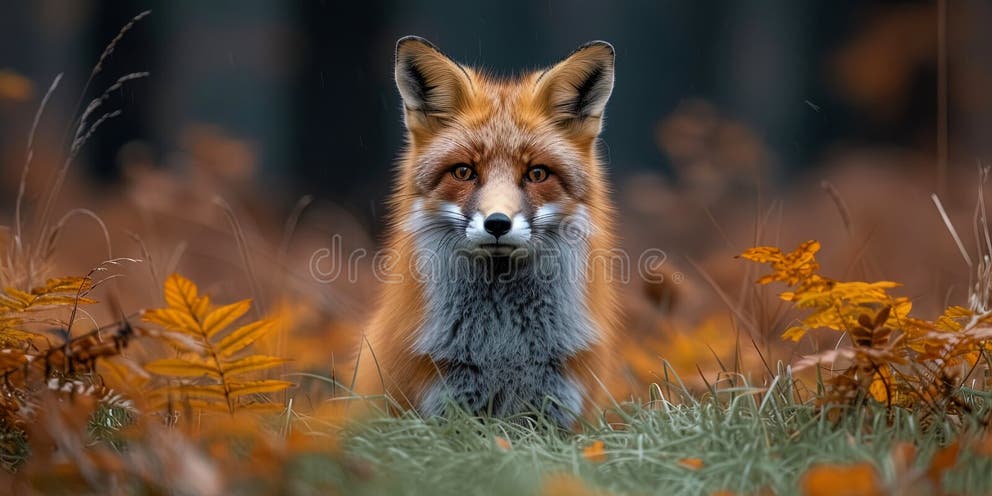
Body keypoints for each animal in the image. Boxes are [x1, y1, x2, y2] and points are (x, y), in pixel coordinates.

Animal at [355, 36, 620, 427]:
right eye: (464, 172)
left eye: (537, 173)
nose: (497, 223)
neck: (501, 345)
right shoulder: (440, 408)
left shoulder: (560, 411)